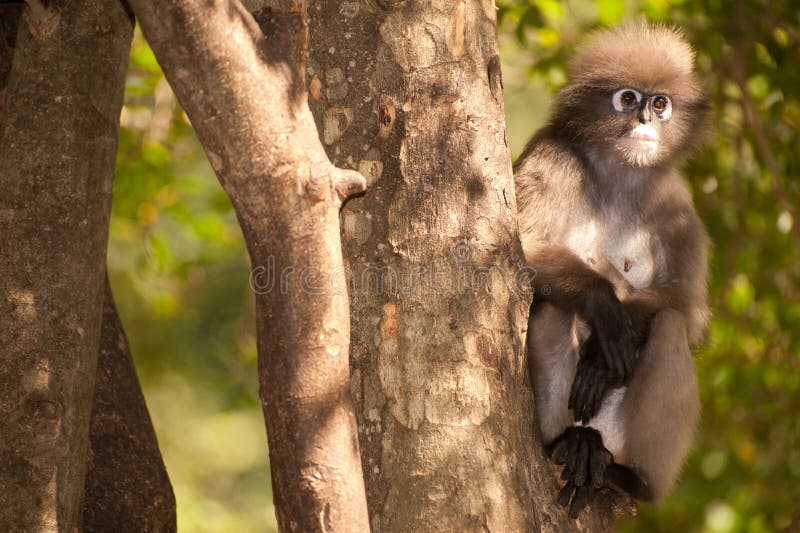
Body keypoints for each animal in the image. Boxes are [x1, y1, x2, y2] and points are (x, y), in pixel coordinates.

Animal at [513, 22, 710, 518]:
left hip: (619, 433)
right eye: (627, 98)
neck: (618, 172)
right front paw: (604, 307)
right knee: (555, 306)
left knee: (668, 325)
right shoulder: (552, 156)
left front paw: (601, 359)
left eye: (660, 104)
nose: (644, 121)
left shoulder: (675, 203)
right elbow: (525, 247)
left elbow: (686, 307)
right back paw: (565, 444)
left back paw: (627, 477)